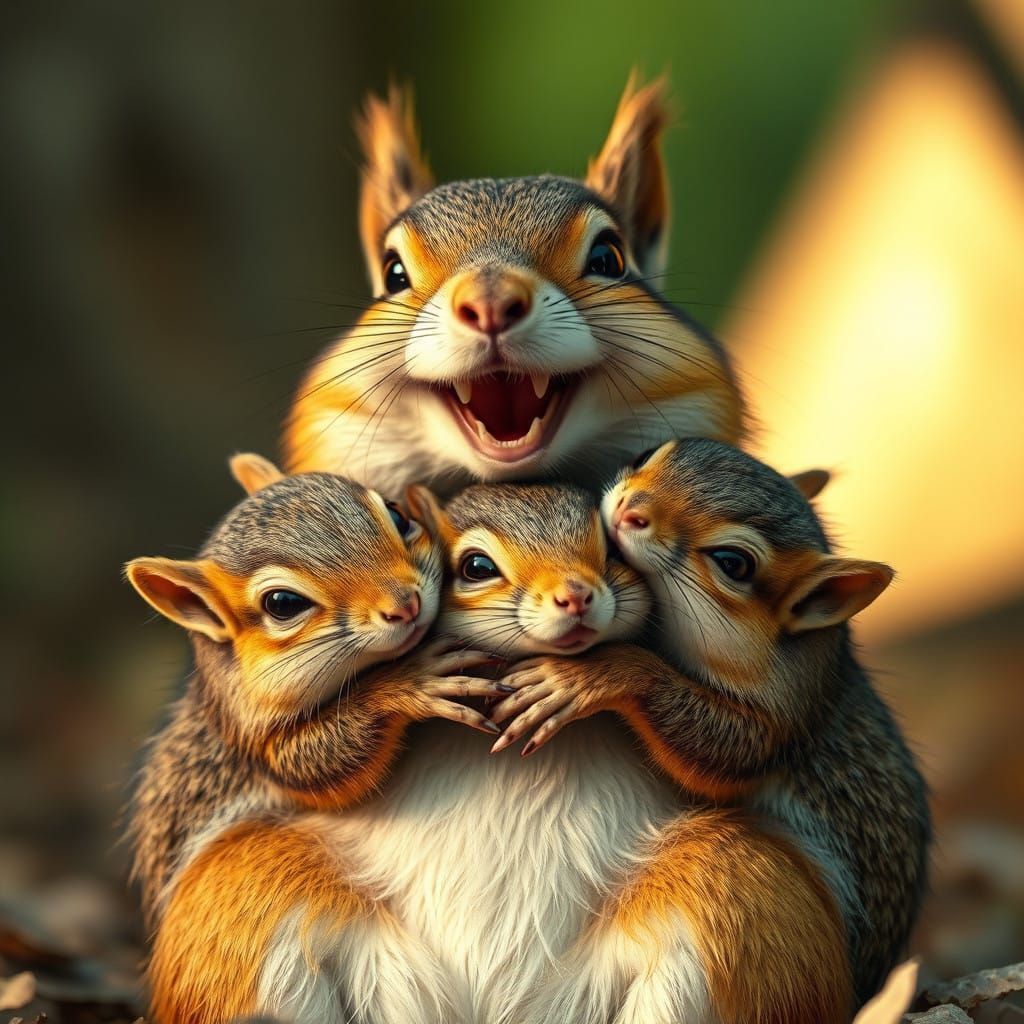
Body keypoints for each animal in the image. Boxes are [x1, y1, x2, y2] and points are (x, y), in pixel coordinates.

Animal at [126, 455, 512, 1024]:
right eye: (283, 603)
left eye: (398, 515)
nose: (405, 604)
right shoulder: (259, 745)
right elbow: (322, 767)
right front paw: (406, 686)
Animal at [574, 437, 931, 1005]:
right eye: (651, 453)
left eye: (734, 563)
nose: (630, 509)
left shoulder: (780, 724)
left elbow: (720, 753)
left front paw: (607, 672)